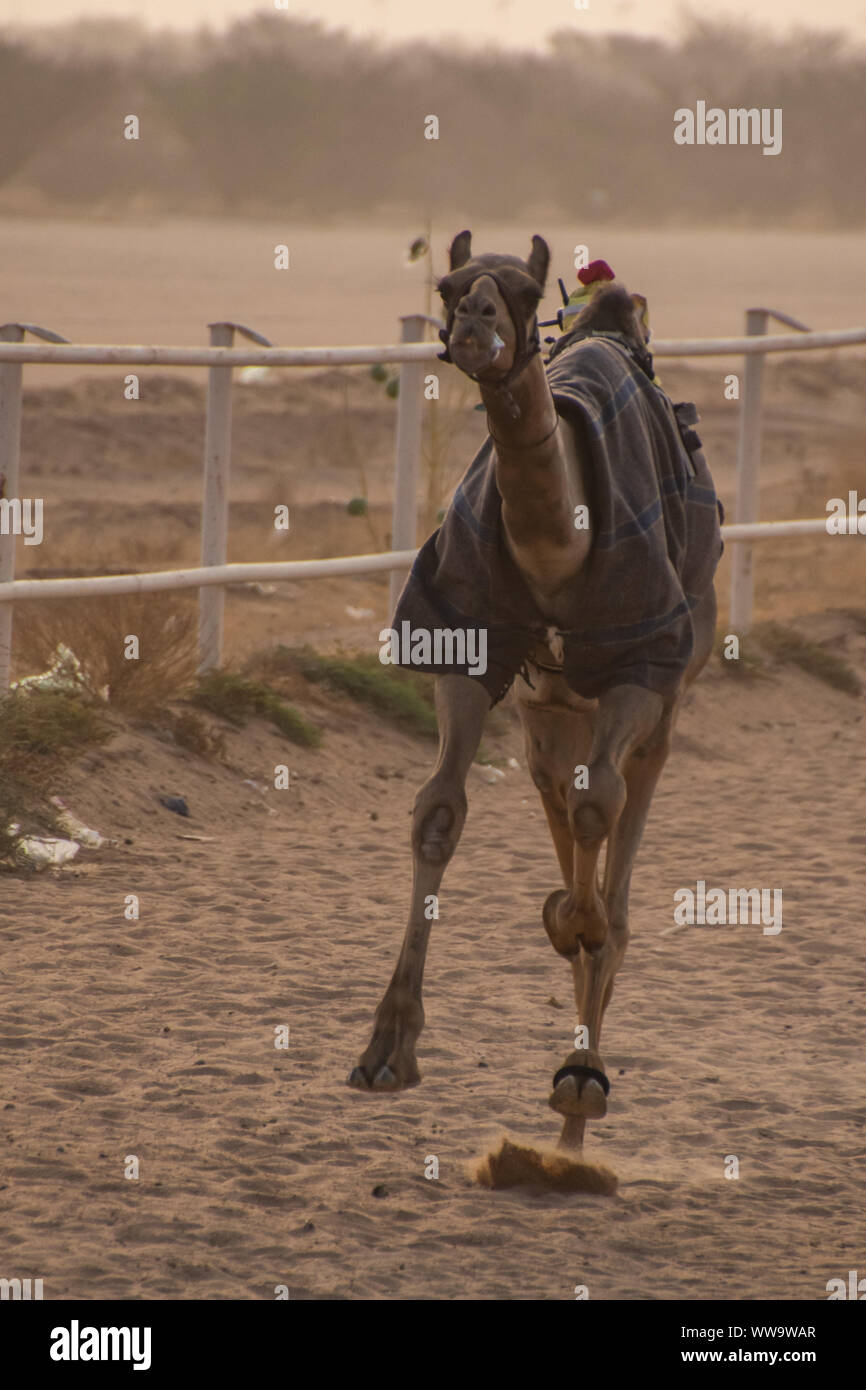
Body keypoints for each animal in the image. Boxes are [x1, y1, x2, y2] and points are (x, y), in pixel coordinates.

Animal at [348, 231, 722, 1153]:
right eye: (451, 286)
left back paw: (580, 1084)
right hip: (549, 710)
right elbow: (440, 811)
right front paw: (386, 1049)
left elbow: (600, 818)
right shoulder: (469, 644)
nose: (477, 328)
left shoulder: (640, 659)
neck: (561, 548)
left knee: (617, 829)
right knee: (564, 788)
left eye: (518, 292)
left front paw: (576, 938)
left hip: (668, 689)